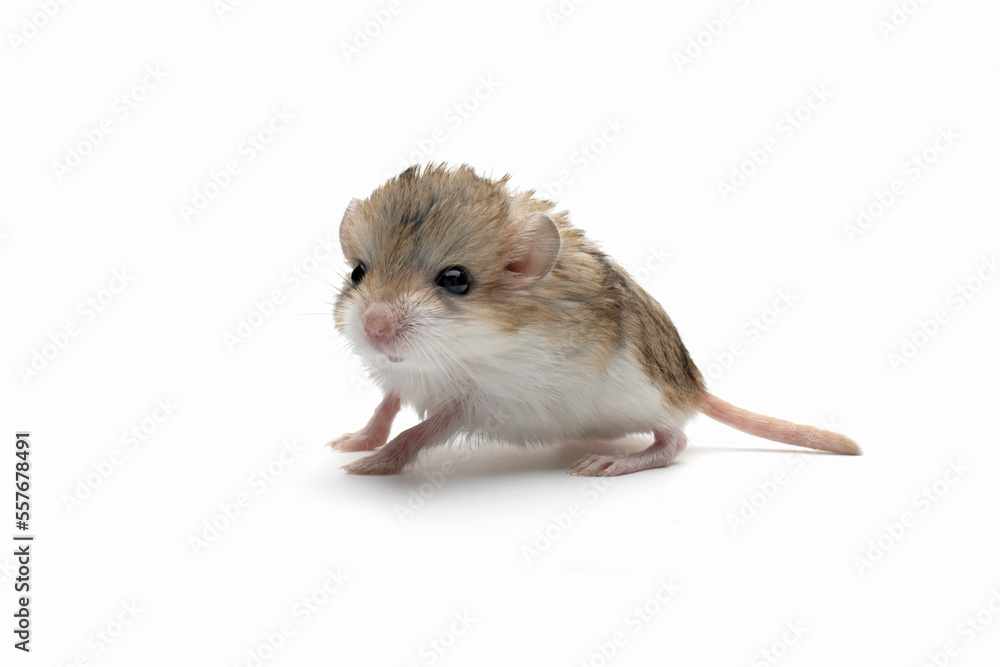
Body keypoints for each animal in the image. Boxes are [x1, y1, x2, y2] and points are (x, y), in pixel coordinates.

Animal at [326, 164, 860, 476]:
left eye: (455, 279)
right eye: (357, 272)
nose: (374, 328)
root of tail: (694, 388)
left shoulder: (480, 402)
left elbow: (422, 430)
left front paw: (367, 467)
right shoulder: (402, 377)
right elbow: (387, 406)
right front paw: (346, 445)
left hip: (640, 398)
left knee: (676, 439)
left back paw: (604, 463)